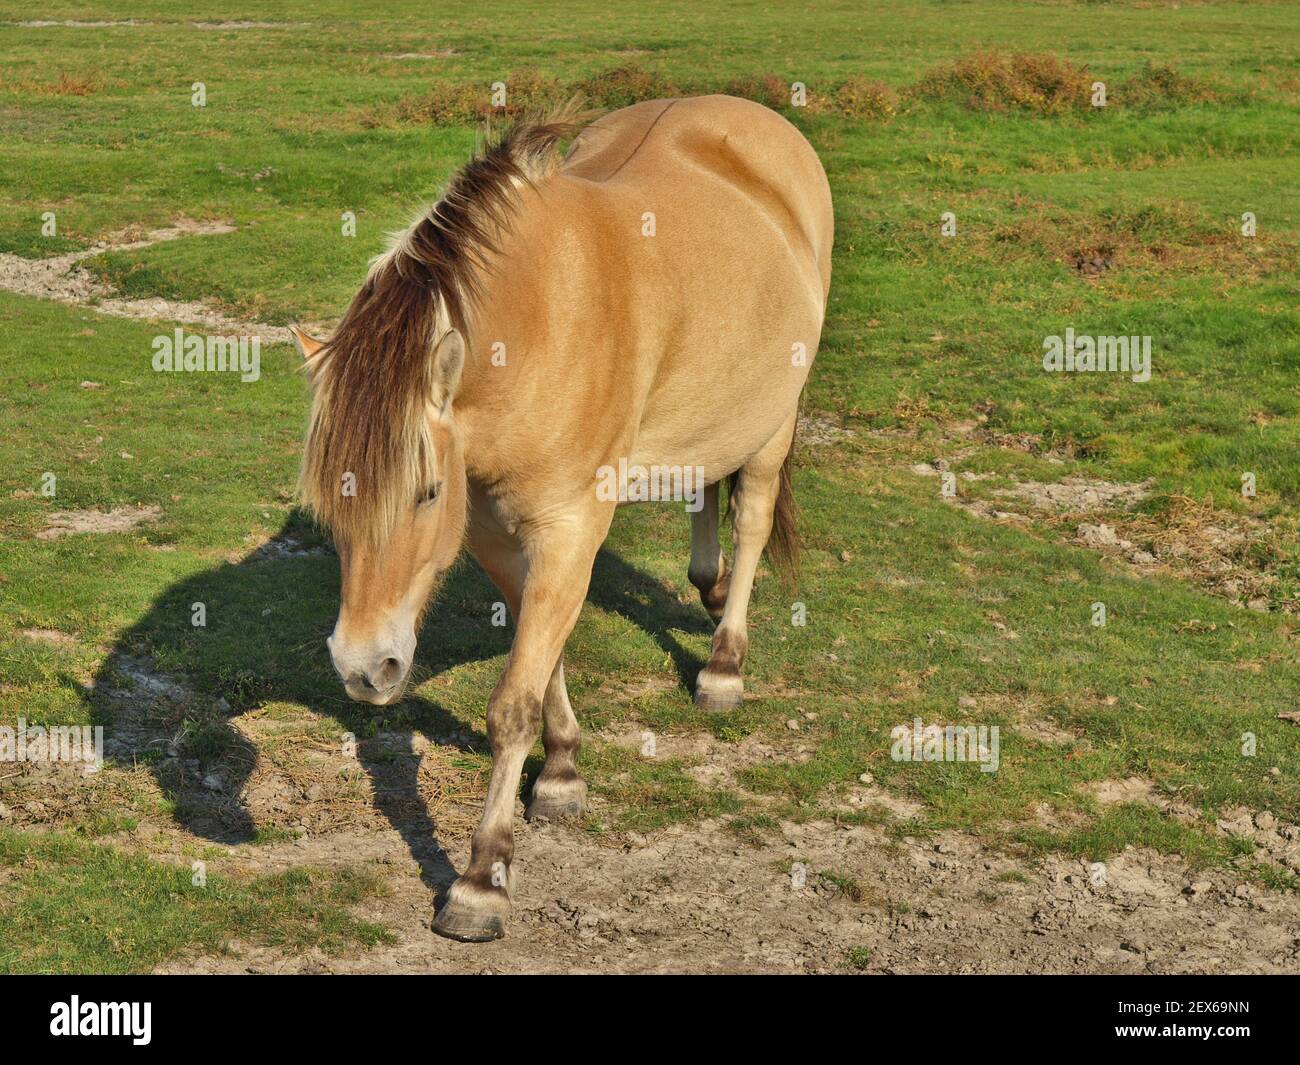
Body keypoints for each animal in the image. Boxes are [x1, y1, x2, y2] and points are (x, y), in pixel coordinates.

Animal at [292, 95, 833, 941]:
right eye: (330, 500)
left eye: (425, 493)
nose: (361, 667)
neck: (538, 323)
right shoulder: (496, 536)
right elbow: (543, 654)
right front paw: (564, 769)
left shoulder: (570, 529)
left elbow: (512, 702)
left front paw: (481, 879)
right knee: (708, 496)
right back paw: (707, 588)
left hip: (774, 423)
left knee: (750, 519)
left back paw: (723, 662)